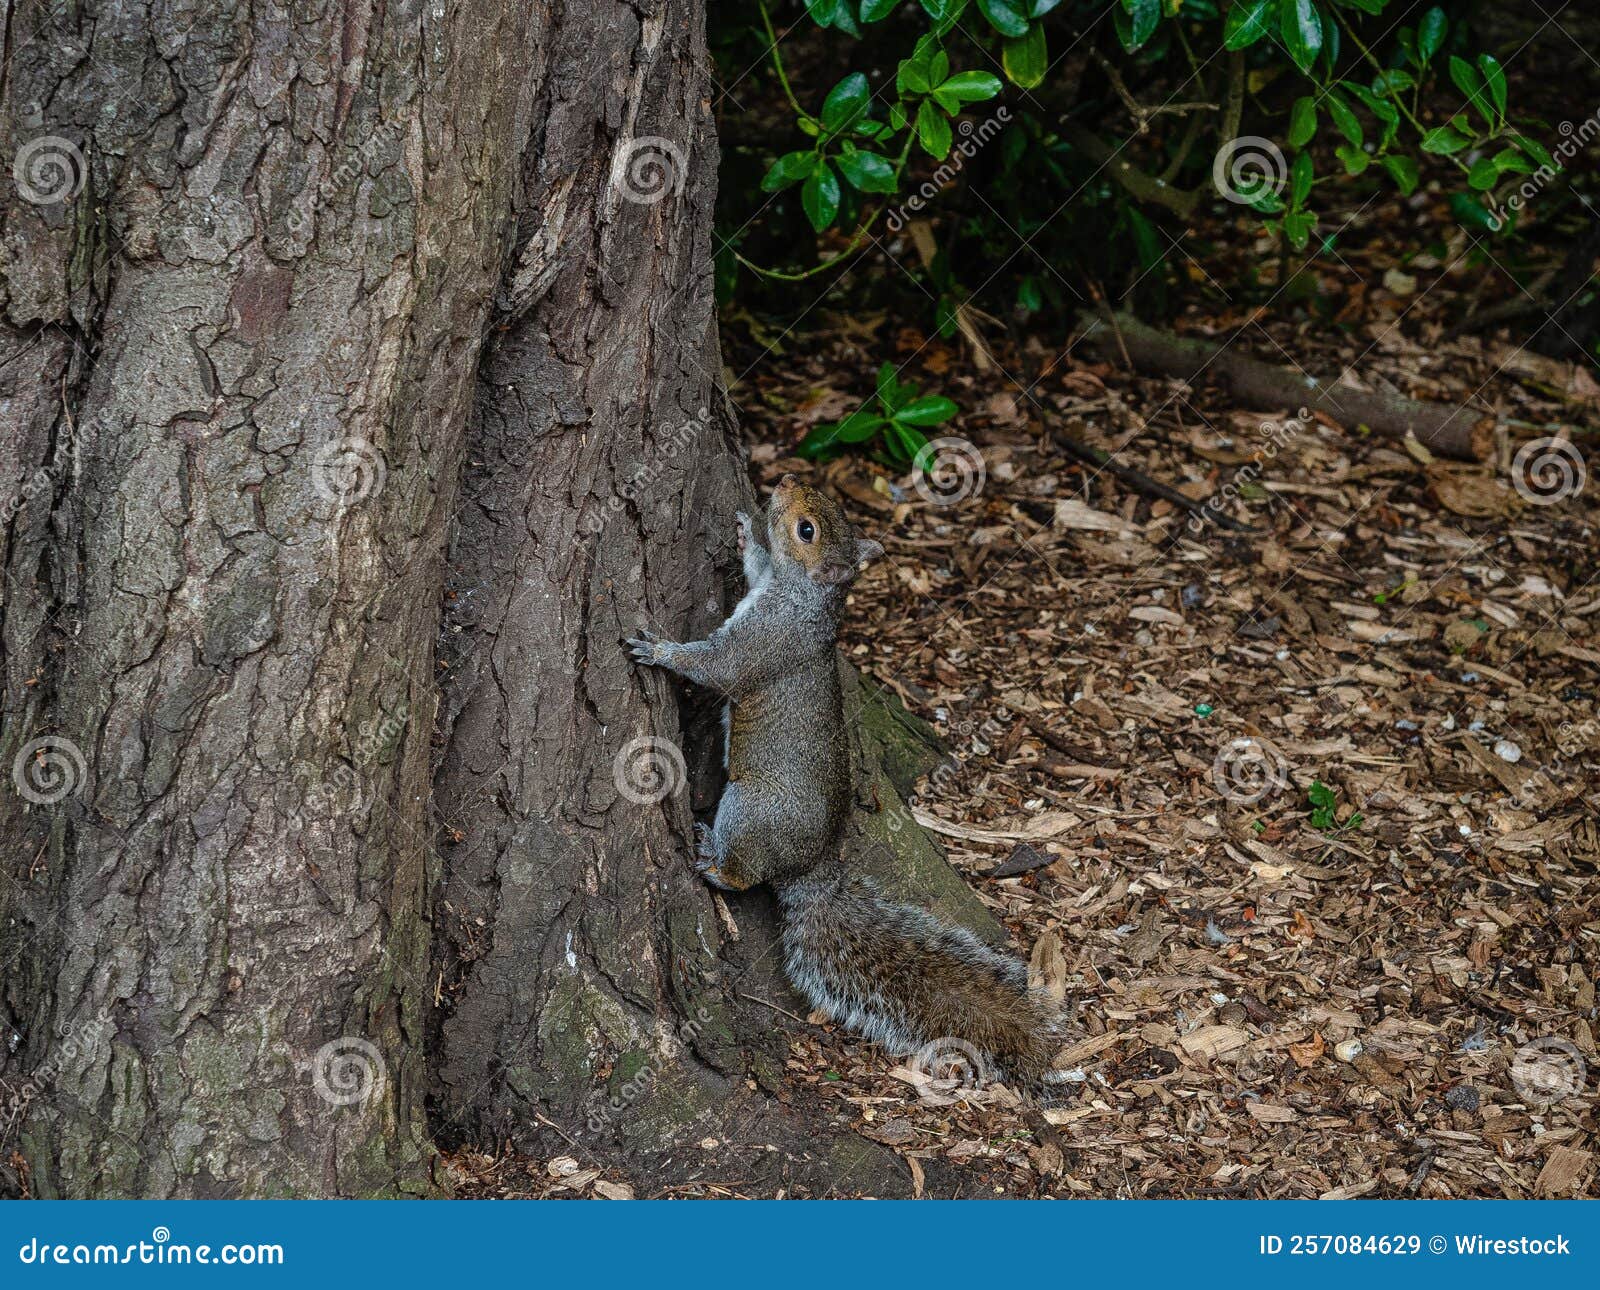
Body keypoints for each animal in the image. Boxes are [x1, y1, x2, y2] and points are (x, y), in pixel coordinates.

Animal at [627, 474, 1066, 1082]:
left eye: (807, 529)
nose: (786, 482)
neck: (805, 600)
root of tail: (811, 868)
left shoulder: (762, 642)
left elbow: (714, 667)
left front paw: (659, 648)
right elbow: (757, 564)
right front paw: (745, 534)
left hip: (749, 808)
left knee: (747, 873)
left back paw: (714, 861)